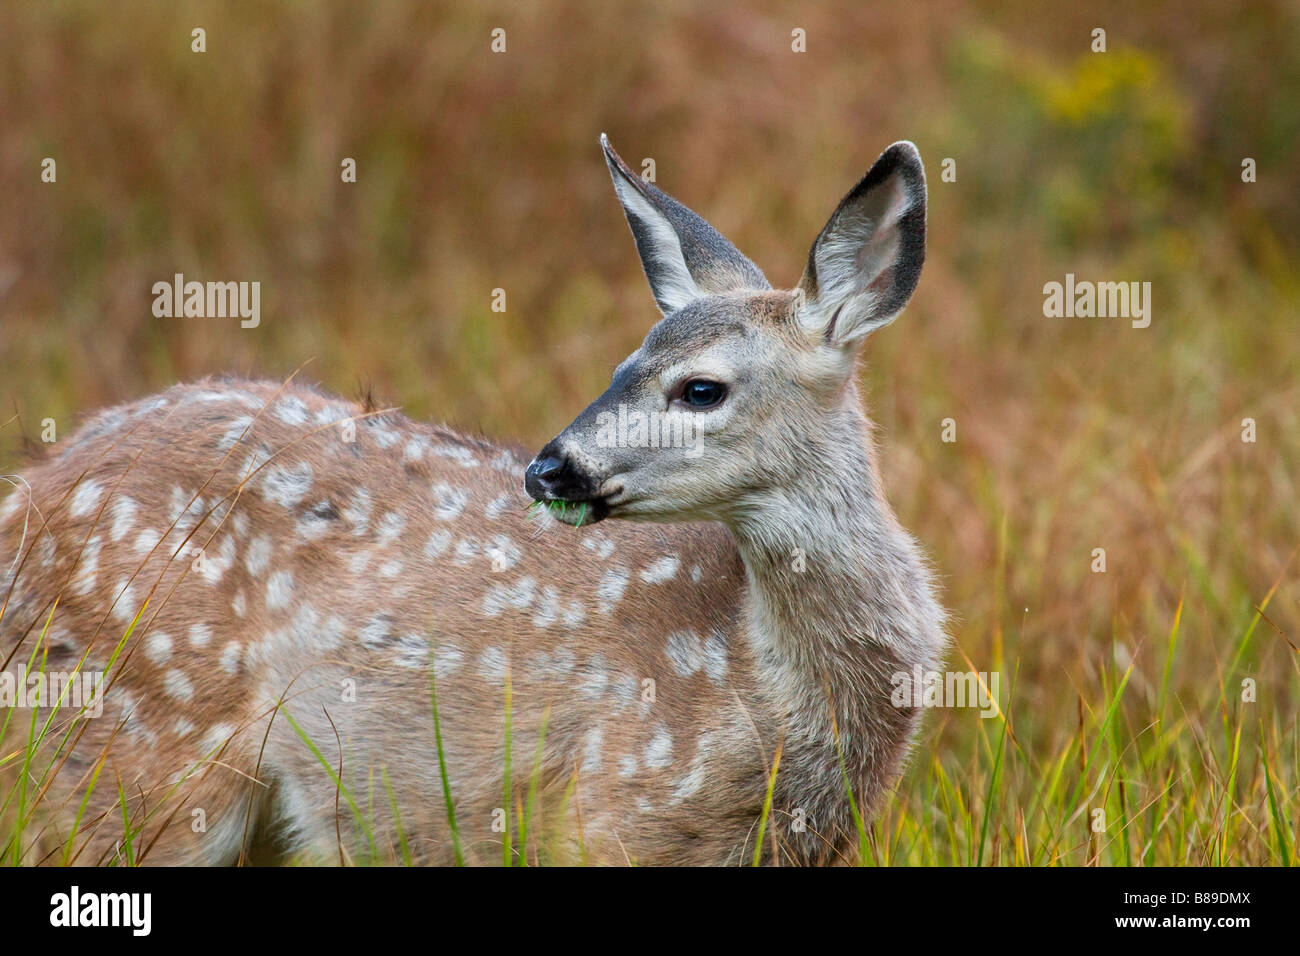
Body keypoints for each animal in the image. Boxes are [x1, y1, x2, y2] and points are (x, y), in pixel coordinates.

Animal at [0, 136, 946, 866]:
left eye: (701, 389)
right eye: (622, 365)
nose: (549, 470)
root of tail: (25, 497)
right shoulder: (614, 811)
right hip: (133, 742)